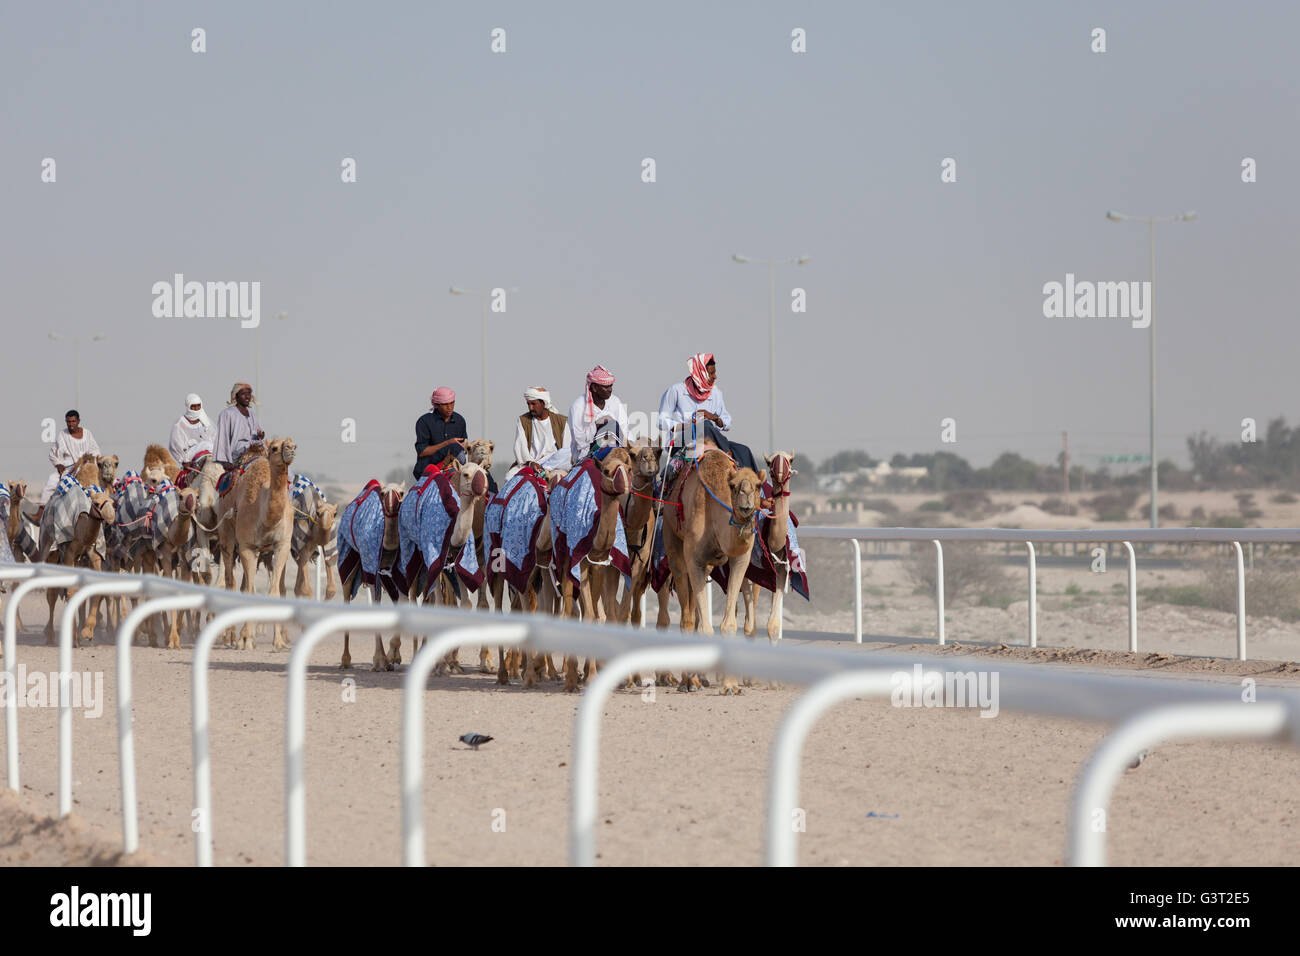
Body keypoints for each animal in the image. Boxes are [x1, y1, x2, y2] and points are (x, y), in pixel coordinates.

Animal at [220, 438, 296, 650]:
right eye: (275, 448)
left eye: (293, 443)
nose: (291, 450)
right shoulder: (247, 546)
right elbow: (249, 593)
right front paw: (245, 640)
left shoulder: (282, 546)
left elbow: (275, 592)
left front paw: (278, 642)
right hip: (227, 538)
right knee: (230, 581)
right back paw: (231, 637)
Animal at [662, 448, 765, 693]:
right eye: (734, 486)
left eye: (757, 486)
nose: (746, 503)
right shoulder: (694, 559)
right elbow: (704, 627)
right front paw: (694, 681)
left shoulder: (739, 559)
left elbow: (729, 623)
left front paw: (731, 685)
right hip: (673, 543)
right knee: (687, 617)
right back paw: (687, 681)